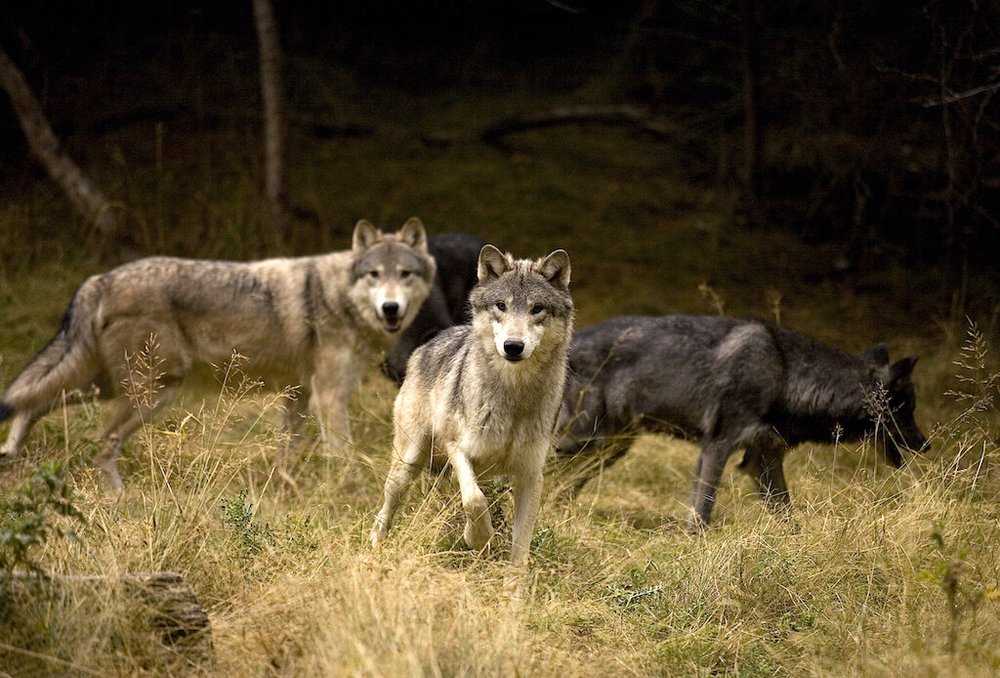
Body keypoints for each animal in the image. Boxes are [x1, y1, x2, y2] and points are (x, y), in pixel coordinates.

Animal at [0, 218, 436, 490]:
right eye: (375, 275)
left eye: (405, 275)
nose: (391, 308)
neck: (335, 296)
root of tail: (100, 278)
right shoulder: (329, 395)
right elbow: (342, 452)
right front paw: (348, 489)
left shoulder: (298, 393)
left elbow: (285, 451)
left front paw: (286, 489)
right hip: (150, 392)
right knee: (99, 442)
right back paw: (118, 497)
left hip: (109, 386)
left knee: (33, 402)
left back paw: (10, 452)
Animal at [554, 315, 928, 528]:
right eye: (905, 409)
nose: (926, 444)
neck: (785, 374)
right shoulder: (717, 447)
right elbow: (702, 511)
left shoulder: (763, 459)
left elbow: (787, 516)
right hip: (582, 442)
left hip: (609, 450)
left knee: (563, 486)